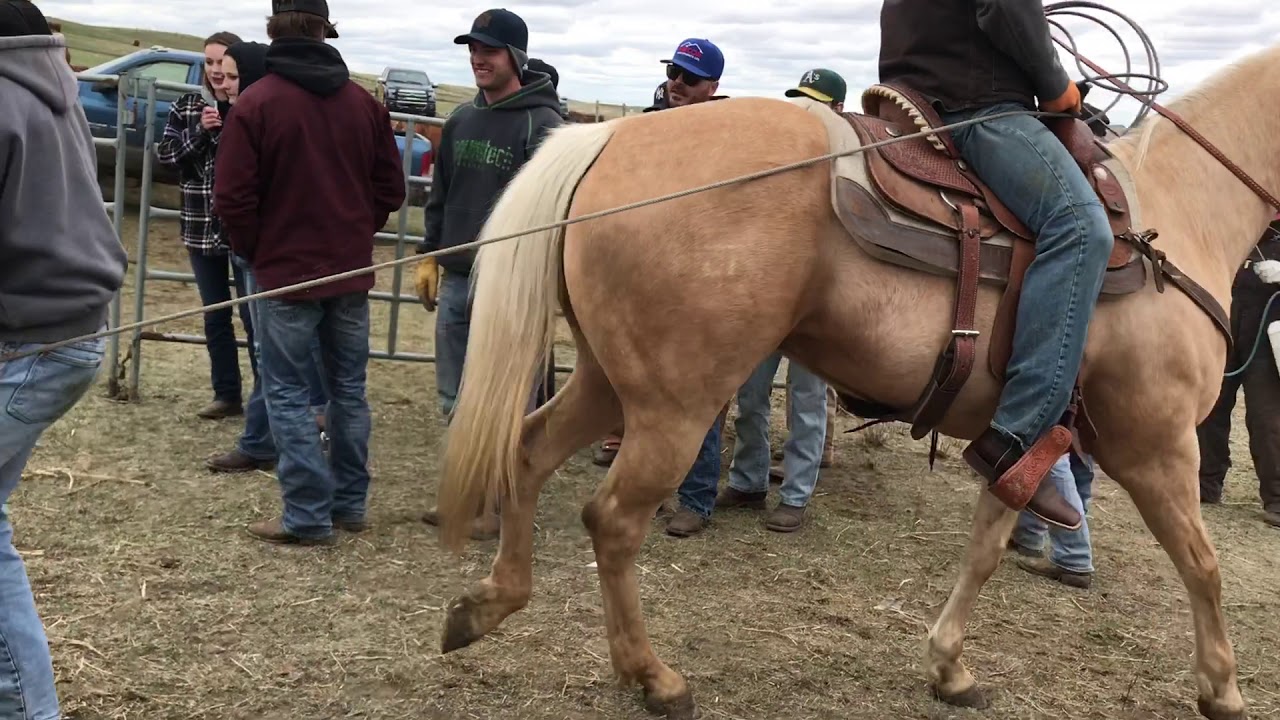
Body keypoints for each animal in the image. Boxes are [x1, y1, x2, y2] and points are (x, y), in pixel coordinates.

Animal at [430, 42, 1280, 720]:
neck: (1180, 207)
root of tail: (608, 136)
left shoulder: (1028, 438)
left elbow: (986, 546)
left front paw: (949, 667)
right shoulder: (1155, 446)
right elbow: (1202, 564)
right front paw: (1223, 689)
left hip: (610, 381)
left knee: (528, 452)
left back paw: (485, 606)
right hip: (675, 405)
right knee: (610, 521)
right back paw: (655, 678)